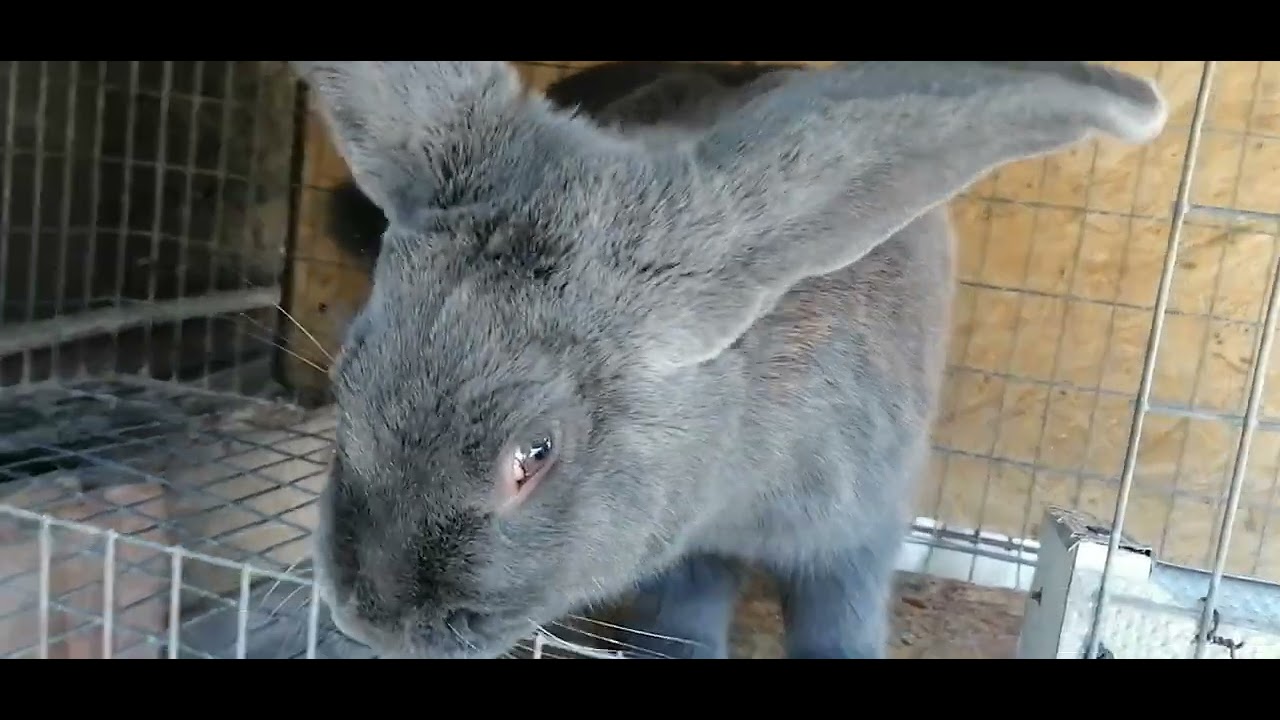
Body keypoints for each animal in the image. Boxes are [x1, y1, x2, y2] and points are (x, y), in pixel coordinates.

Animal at [290, 61, 1168, 660]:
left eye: (533, 454)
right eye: (346, 384)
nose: (371, 618)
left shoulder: (854, 537)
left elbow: (839, 625)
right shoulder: (688, 557)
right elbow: (683, 629)